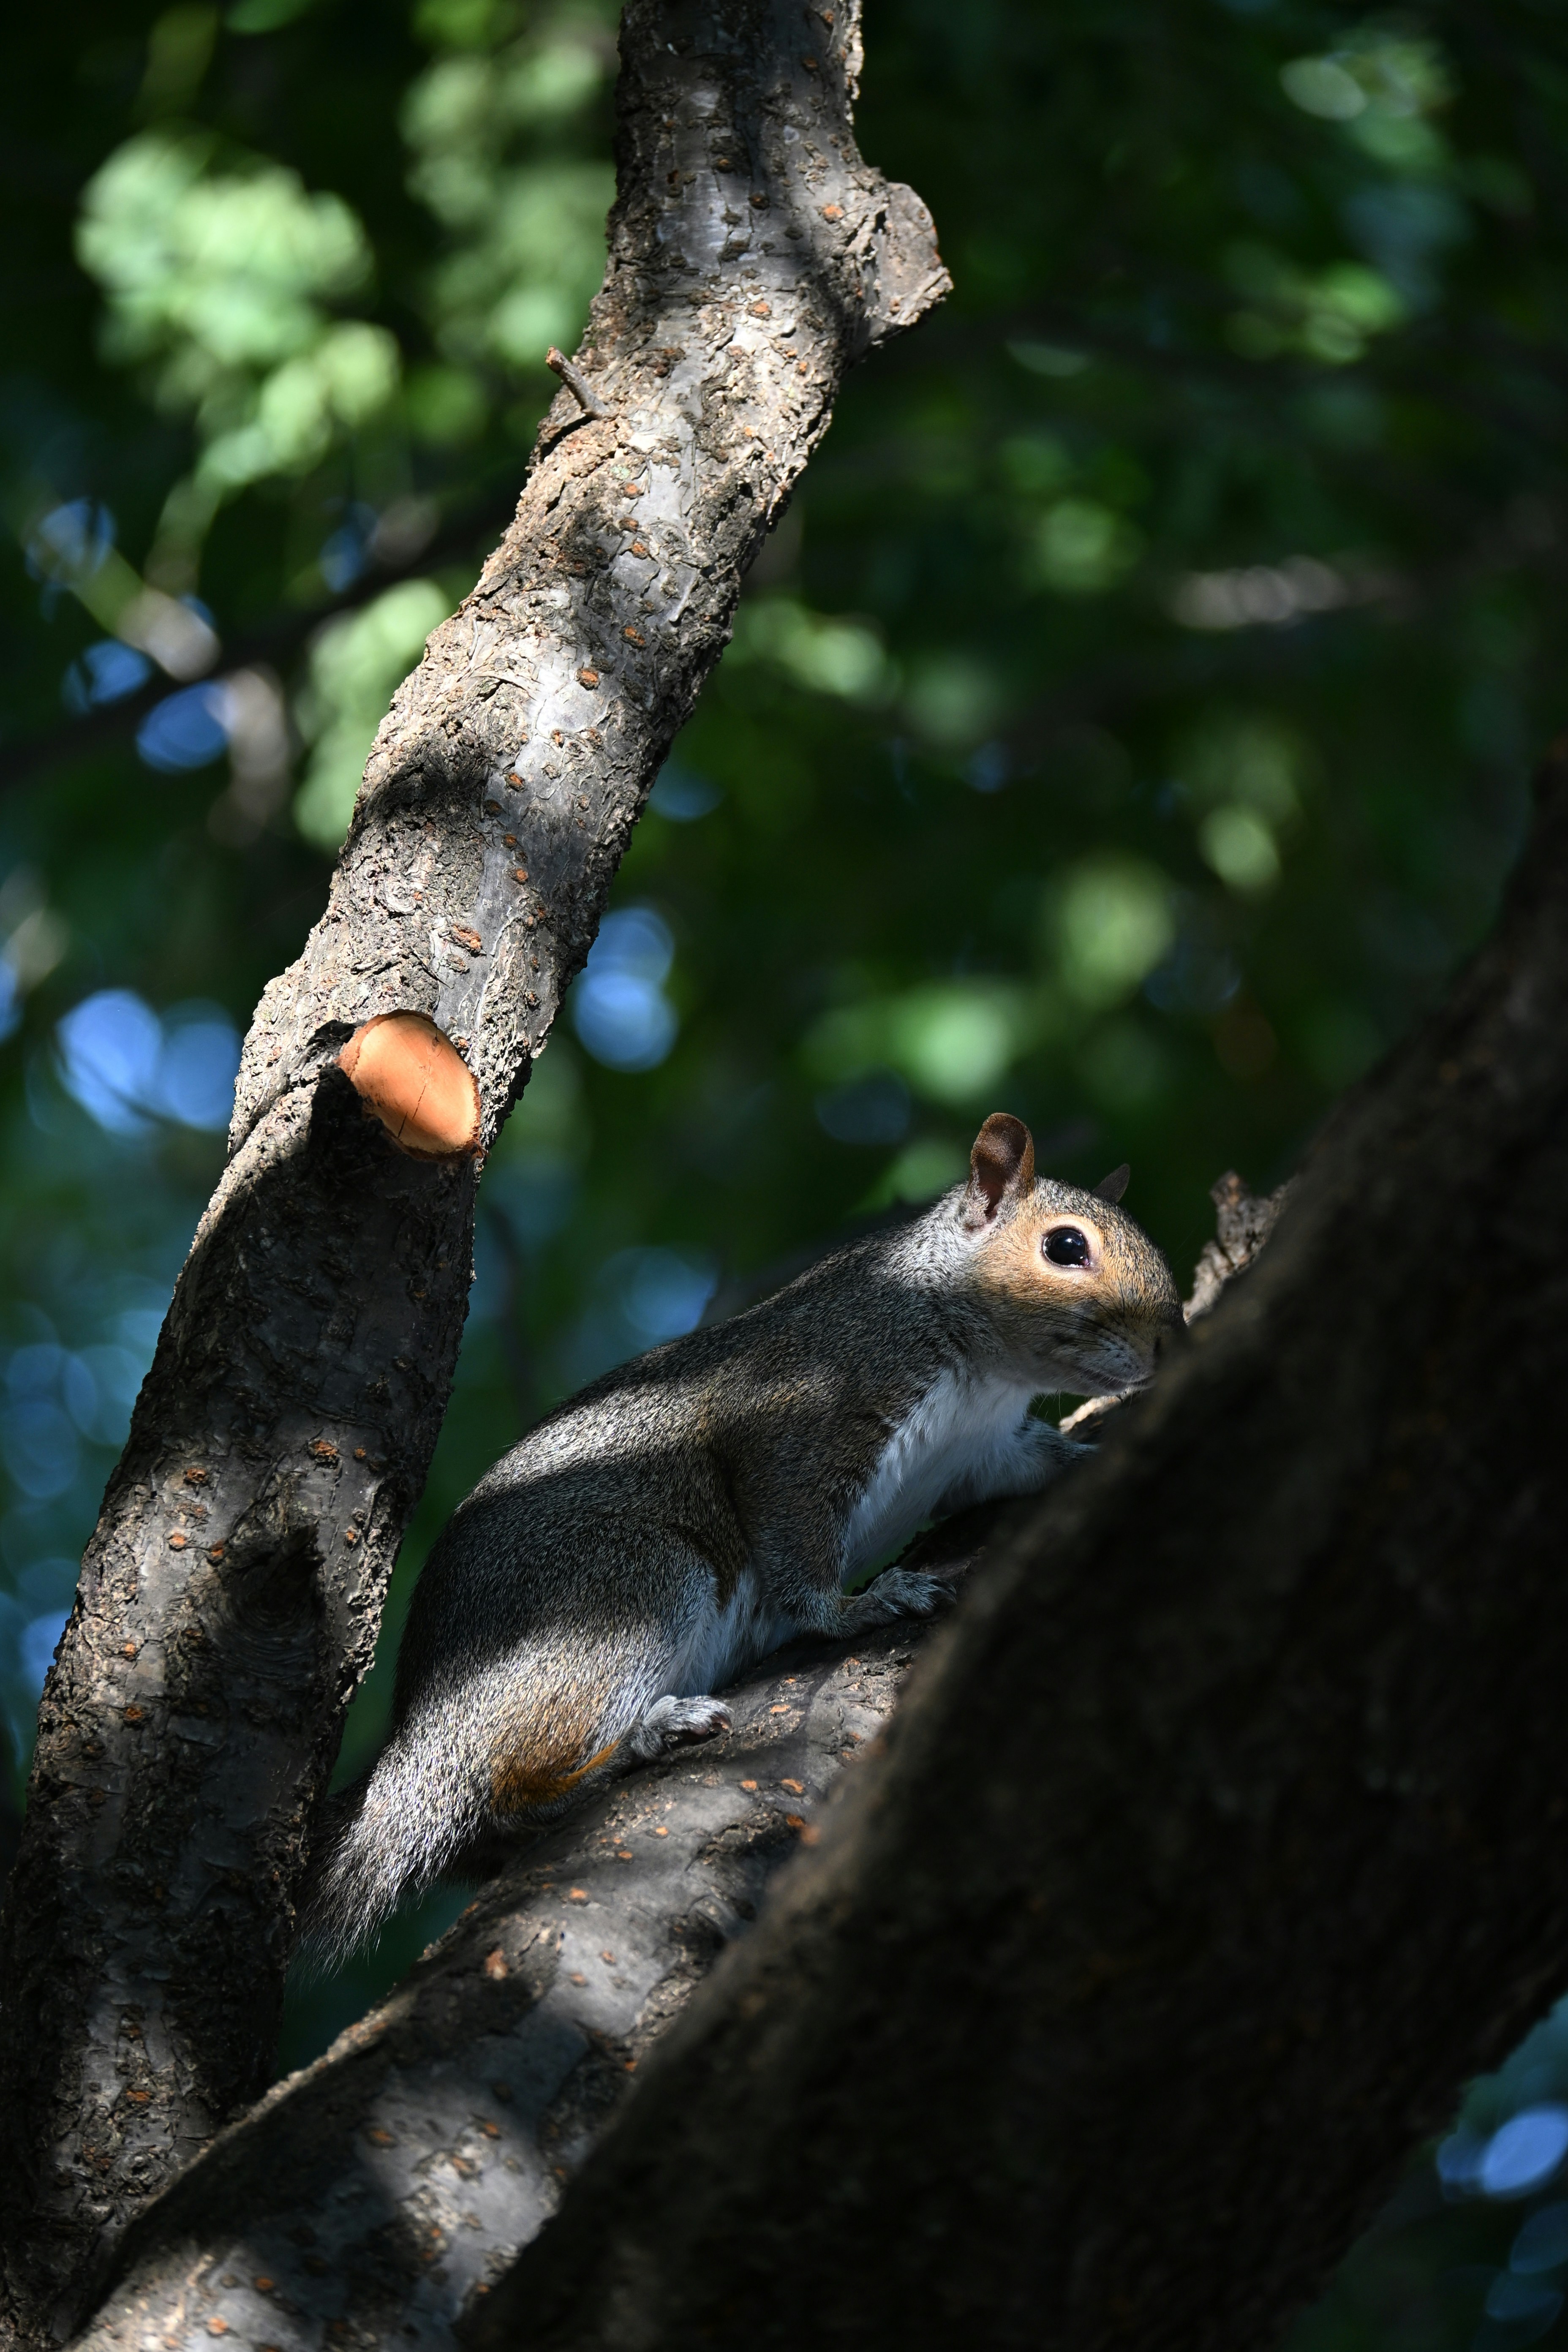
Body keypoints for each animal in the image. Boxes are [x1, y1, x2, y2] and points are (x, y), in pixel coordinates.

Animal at [303, 1112, 1181, 1956]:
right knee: (511, 1789)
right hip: (632, 1588)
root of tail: (421, 1740)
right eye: (1065, 1246)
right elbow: (792, 1537)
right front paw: (854, 1608)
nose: (1167, 1340)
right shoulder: (796, 1416)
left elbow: (1028, 1465)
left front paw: (1103, 1448)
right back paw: (642, 1736)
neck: (979, 1366)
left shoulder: (980, 1453)